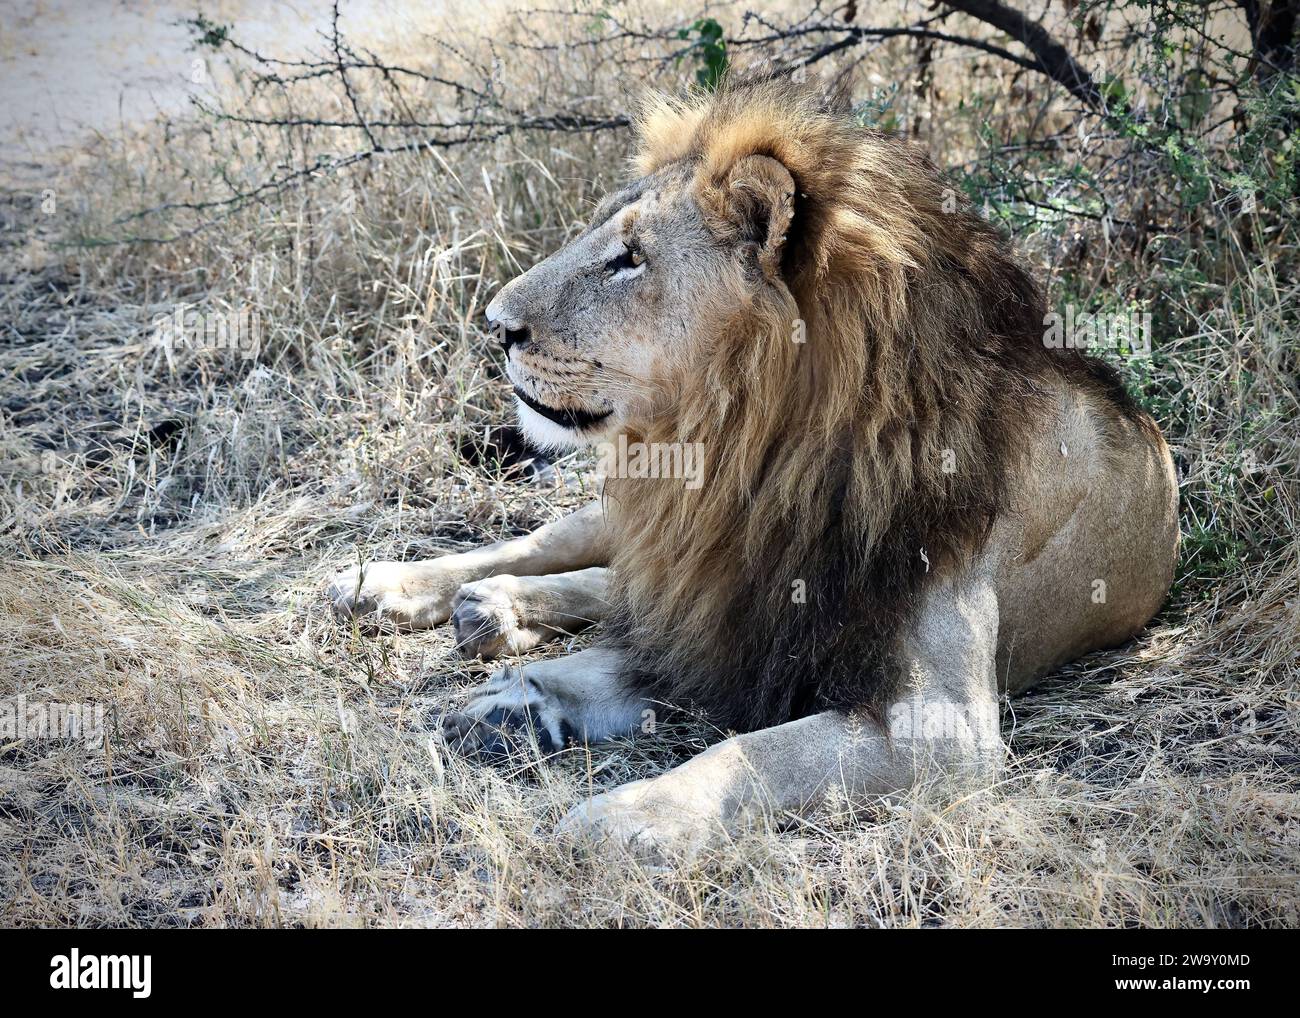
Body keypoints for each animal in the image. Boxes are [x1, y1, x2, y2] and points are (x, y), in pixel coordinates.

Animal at [328, 78, 1179, 856]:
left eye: (630, 259)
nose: (495, 326)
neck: (752, 460)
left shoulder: (941, 726)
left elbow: (748, 752)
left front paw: (621, 814)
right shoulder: (728, 606)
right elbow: (634, 645)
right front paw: (521, 703)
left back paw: (495, 613)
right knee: (562, 547)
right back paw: (398, 587)